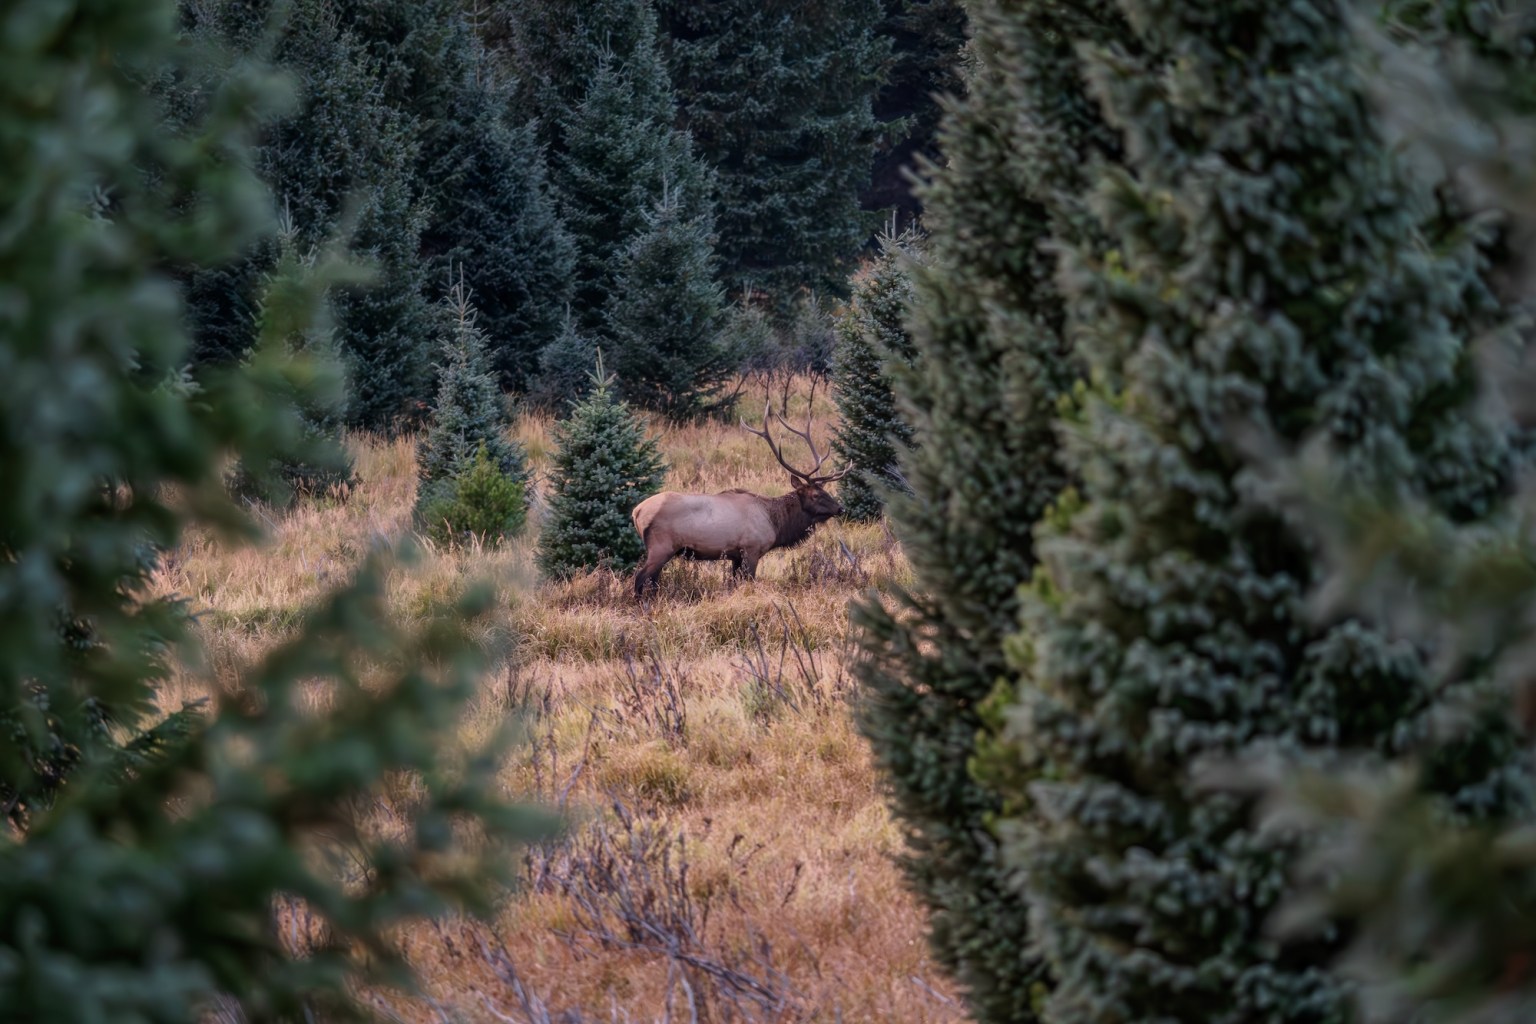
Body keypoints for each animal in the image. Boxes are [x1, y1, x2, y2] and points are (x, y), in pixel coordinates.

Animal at [630, 402, 850, 597]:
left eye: (826, 491)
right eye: (815, 495)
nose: (840, 509)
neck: (776, 523)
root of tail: (636, 511)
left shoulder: (735, 556)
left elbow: (733, 584)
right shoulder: (751, 549)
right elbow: (748, 582)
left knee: (651, 582)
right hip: (661, 546)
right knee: (641, 579)